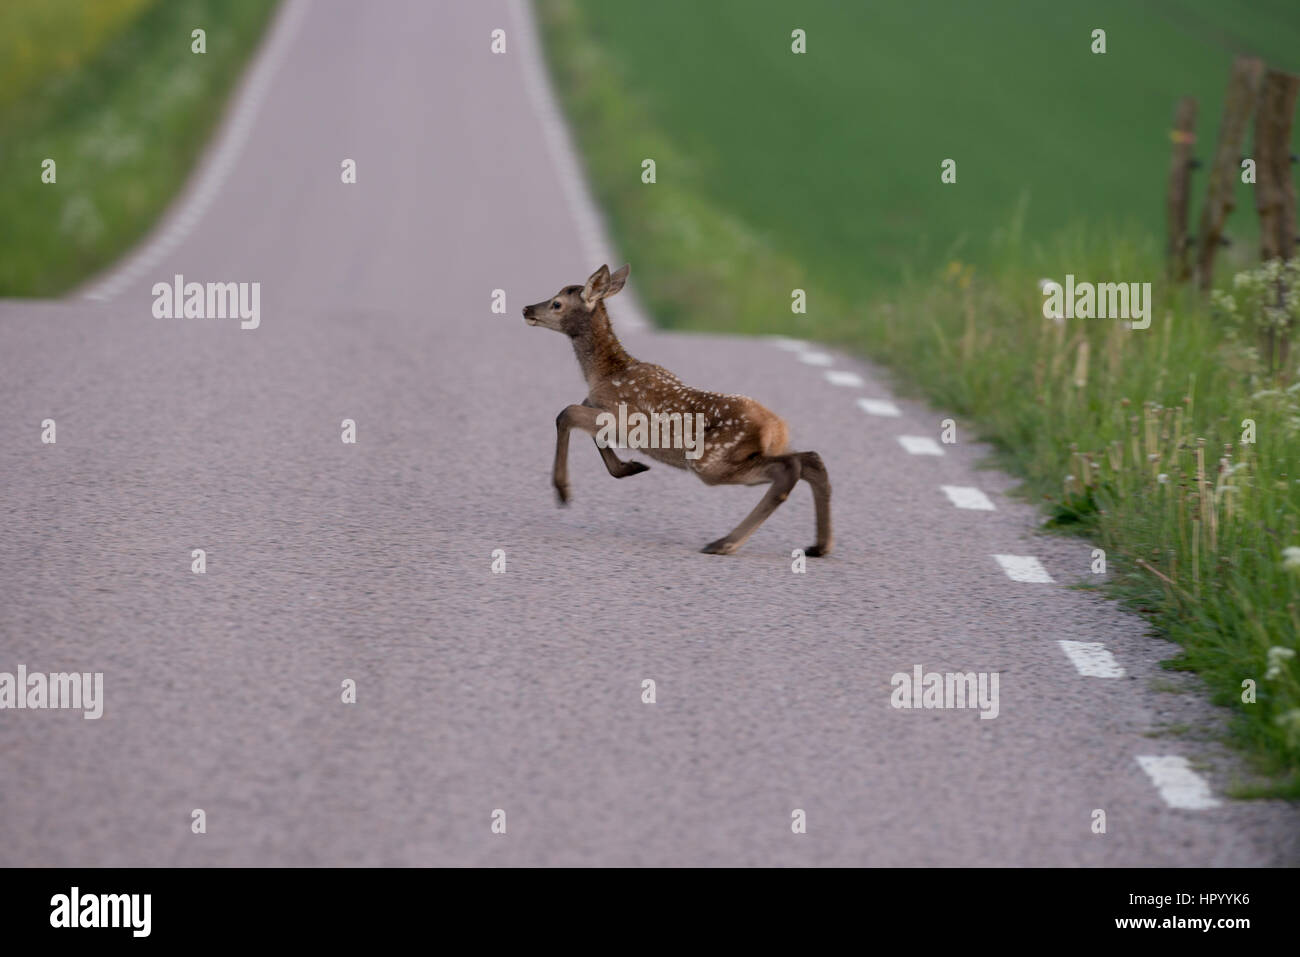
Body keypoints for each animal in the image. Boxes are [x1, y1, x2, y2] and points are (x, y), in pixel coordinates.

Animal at [523, 263, 832, 557]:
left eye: (557, 303)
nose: (527, 309)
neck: (604, 374)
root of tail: (777, 426)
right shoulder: (598, 407)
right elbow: (589, 429)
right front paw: (629, 467)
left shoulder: (624, 418)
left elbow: (566, 413)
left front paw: (563, 490)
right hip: (756, 452)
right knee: (810, 460)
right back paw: (819, 546)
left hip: (711, 460)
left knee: (789, 469)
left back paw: (725, 543)